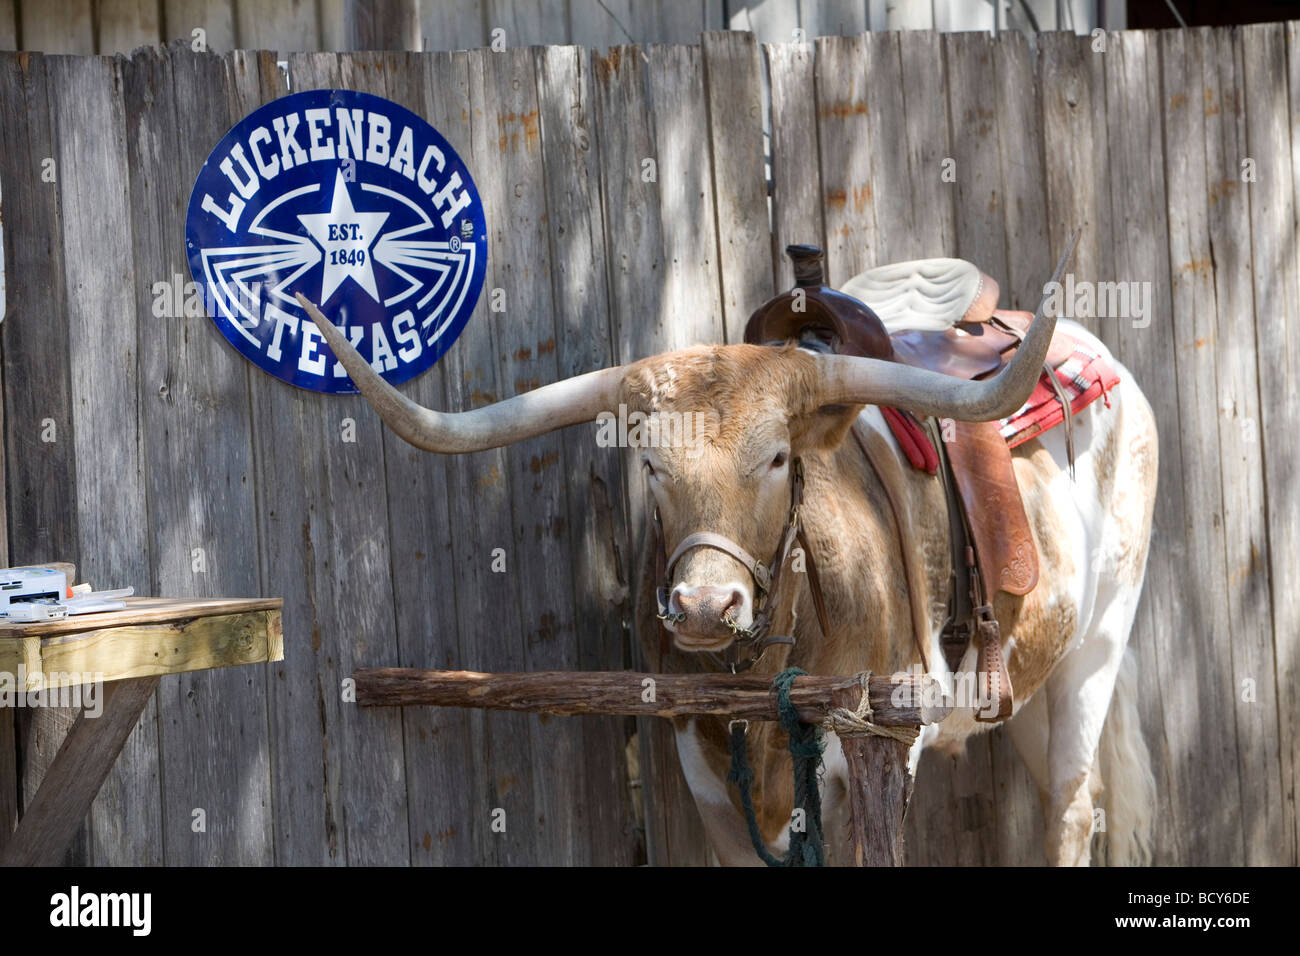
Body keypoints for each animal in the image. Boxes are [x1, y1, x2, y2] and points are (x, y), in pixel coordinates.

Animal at [298, 280, 1157, 868]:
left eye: (777, 457)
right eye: (649, 462)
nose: (707, 605)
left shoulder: (884, 743)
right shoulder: (707, 776)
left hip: (1100, 644)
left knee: (1072, 809)